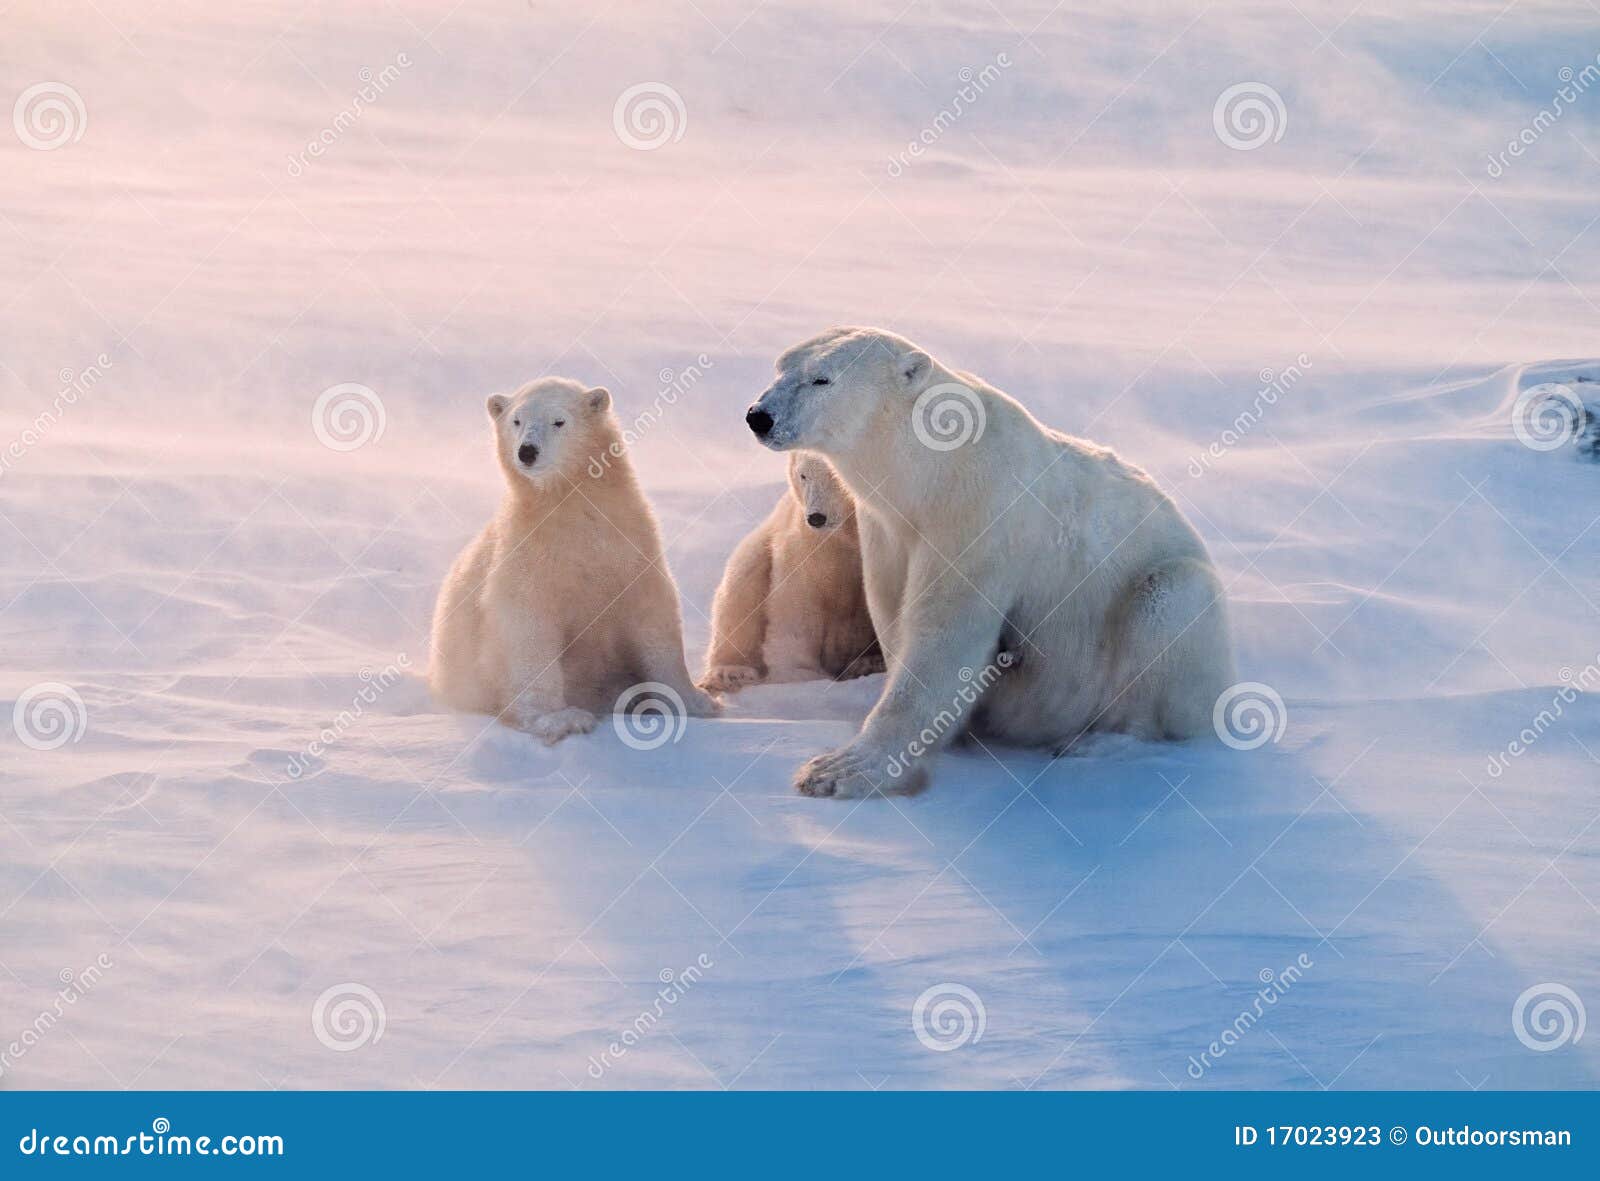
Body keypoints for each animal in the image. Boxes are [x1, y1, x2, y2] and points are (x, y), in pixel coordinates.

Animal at [429, 376, 718, 744]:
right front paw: (561, 720)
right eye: (516, 420)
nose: (527, 451)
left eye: (559, 421)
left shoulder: (631, 545)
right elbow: (528, 627)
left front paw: (695, 701)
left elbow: (654, 616)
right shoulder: (527, 556)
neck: (571, 508)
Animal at [701, 451, 884, 692]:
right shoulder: (807, 544)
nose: (817, 517)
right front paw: (800, 672)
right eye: (803, 475)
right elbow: (798, 602)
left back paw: (867, 663)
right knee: (740, 585)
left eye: (837, 475)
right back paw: (730, 673)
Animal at [743, 327, 1235, 797]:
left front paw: (841, 769)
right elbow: (893, 612)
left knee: (1168, 610)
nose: (758, 416)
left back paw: (1097, 742)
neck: (929, 468)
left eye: (822, 378)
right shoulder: (887, 529)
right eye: (781, 367)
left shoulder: (976, 511)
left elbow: (945, 631)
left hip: (1170, 618)